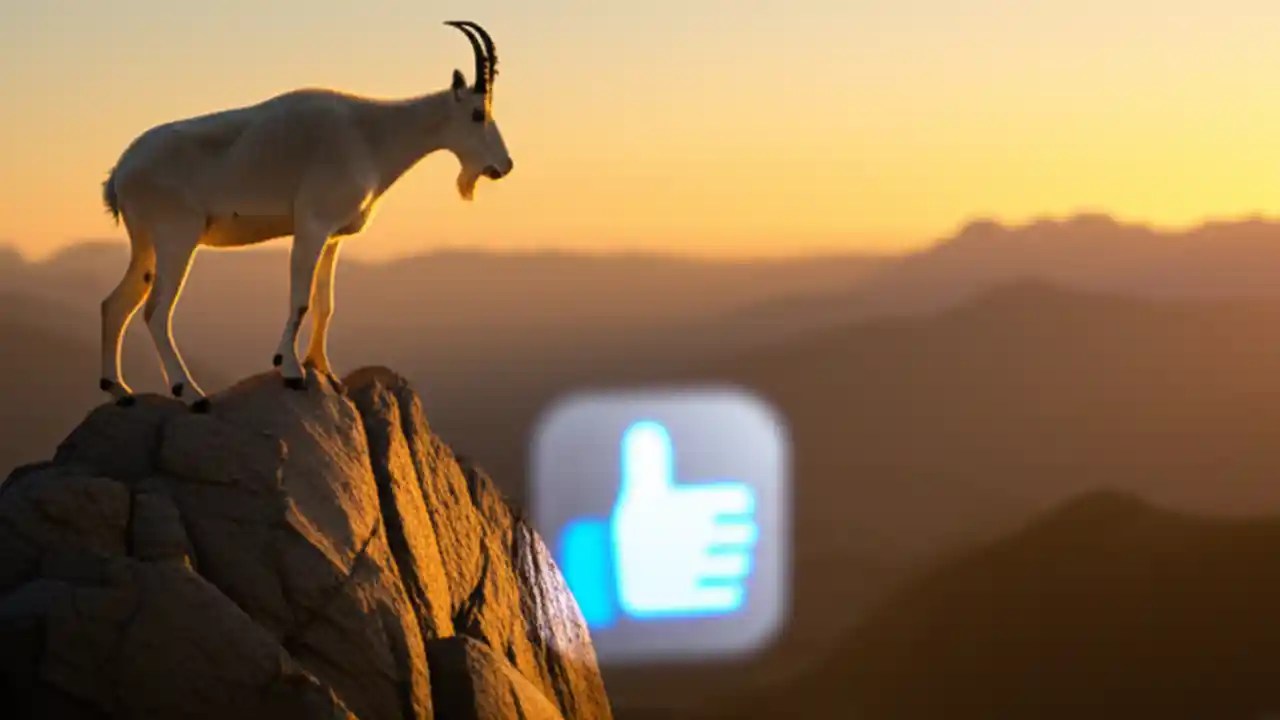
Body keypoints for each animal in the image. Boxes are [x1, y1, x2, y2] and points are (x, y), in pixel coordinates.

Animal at [98, 21, 513, 412]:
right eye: (478, 113)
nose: (503, 166)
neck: (369, 134)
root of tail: (121, 171)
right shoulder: (312, 227)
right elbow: (299, 299)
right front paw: (291, 370)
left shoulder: (332, 237)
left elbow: (324, 303)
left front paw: (323, 369)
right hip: (177, 238)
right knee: (156, 312)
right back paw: (191, 393)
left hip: (147, 244)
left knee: (116, 303)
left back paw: (119, 390)